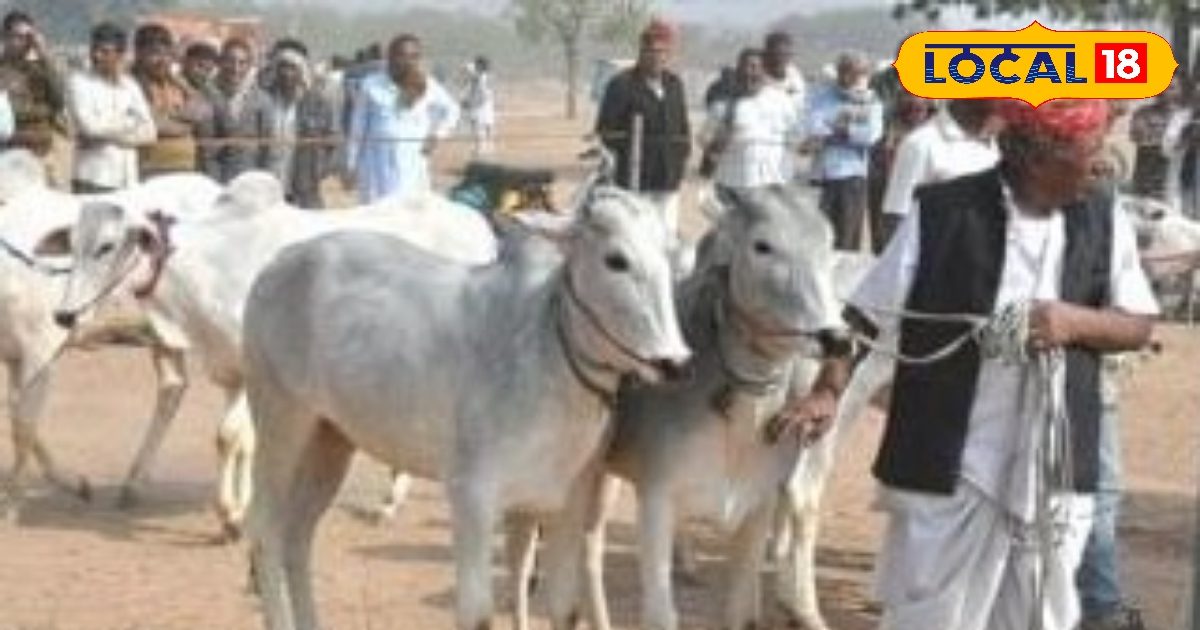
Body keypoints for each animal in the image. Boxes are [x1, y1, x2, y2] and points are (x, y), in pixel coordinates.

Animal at [52, 171, 499, 539]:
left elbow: (238, 437)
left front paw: (235, 515)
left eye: (107, 245)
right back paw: (390, 499)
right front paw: (235, 509)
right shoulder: (230, 371)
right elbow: (233, 439)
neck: (210, 266)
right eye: (72, 245)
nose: (64, 314)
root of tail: (475, 222)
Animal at [241, 176, 689, 630]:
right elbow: (477, 616)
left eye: (669, 257)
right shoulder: (472, 498)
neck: (550, 351)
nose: (674, 361)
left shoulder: (566, 504)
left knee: (298, 535)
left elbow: (564, 609)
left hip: (330, 439)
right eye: (615, 260)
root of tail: (279, 263)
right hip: (281, 417)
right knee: (264, 529)